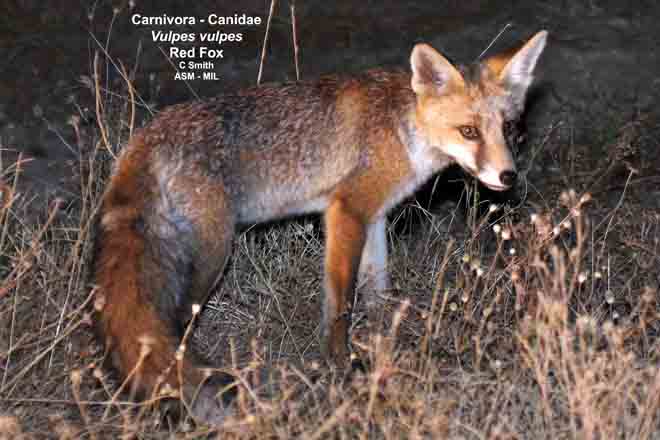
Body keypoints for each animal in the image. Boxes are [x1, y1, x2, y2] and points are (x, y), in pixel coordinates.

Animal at [93, 30, 548, 422]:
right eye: (469, 131)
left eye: (509, 128)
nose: (508, 177)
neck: (403, 129)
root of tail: (143, 139)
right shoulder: (345, 211)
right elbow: (340, 304)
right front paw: (339, 367)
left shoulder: (374, 216)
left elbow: (377, 289)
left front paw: (384, 339)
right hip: (211, 254)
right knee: (177, 320)